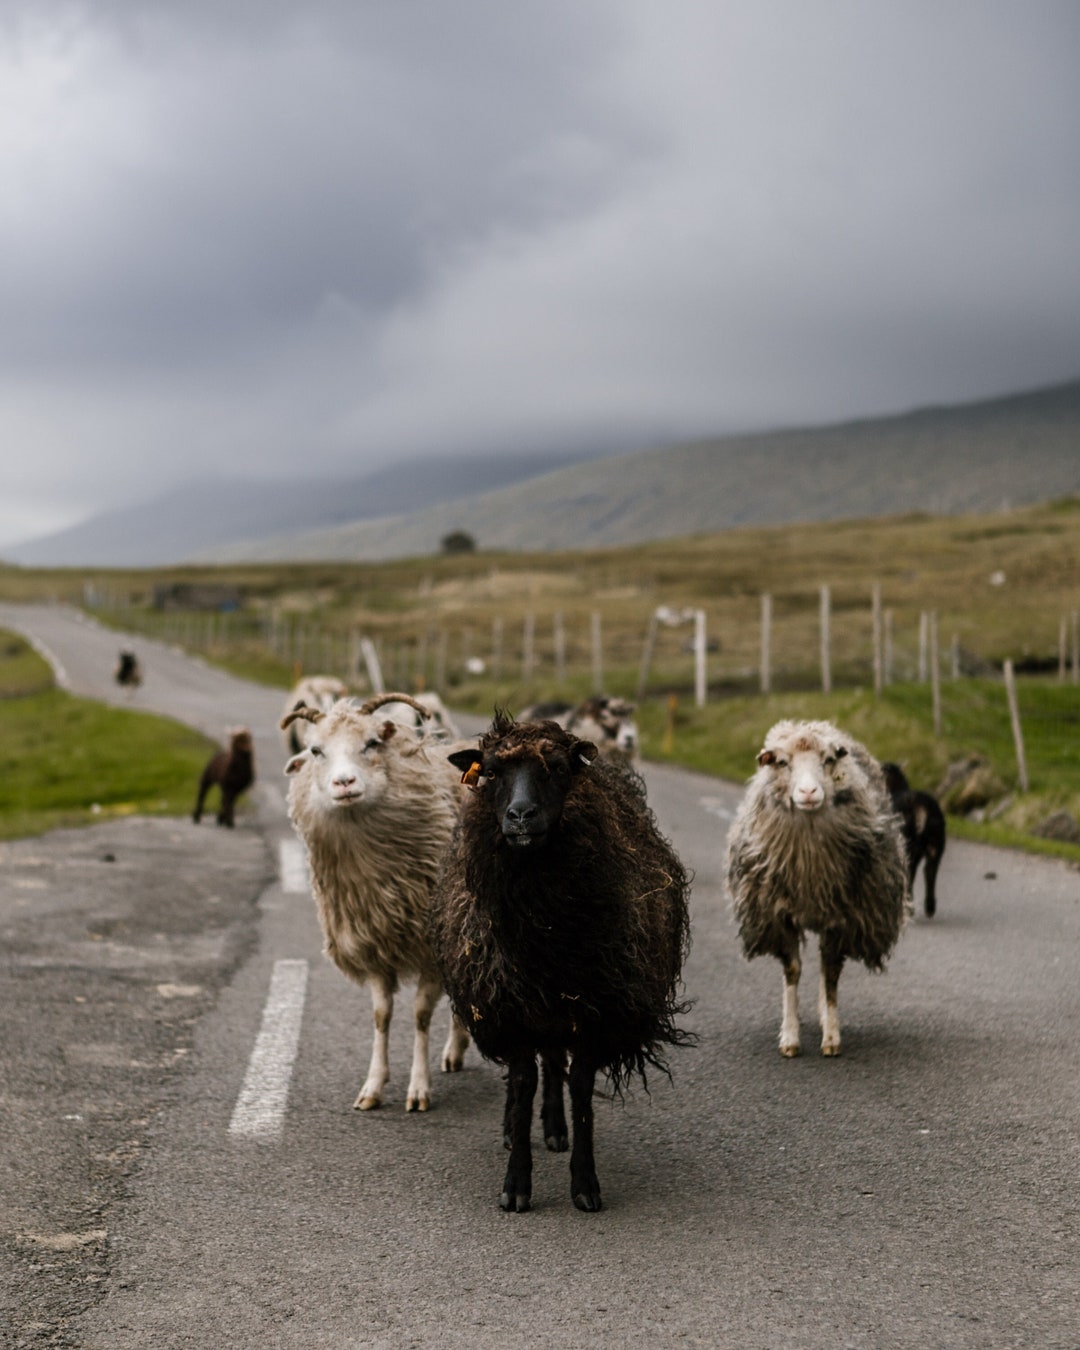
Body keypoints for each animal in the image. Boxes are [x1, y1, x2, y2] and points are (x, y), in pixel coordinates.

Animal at [280, 691, 471, 1112]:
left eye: (371, 743)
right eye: (316, 750)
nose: (344, 781)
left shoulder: (429, 946)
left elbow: (419, 1016)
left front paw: (418, 1088)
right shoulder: (374, 944)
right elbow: (381, 1016)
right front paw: (373, 1085)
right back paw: (456, 1049)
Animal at [429, 711, 693, 1213]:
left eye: (554, 769)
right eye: (492, 771)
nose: (519, 816)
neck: (543, 937)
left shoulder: (594, 1012)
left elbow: (581, 1090)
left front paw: (585, 1185)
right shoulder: (510, 1011)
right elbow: (522, 1085)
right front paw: (516, 1185)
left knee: (554, 1064)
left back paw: (554, 1129)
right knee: (532, 1075)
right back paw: (517, 1131)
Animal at [726, 719, 910, 1058]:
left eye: (827, 760)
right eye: (781, 762)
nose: (809, 791)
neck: (810, 868)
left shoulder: (841, 917)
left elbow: (831, 975)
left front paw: (832, 1037)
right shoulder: (780, 915)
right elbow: (793, 971)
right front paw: (790, 1037)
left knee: (826, 972)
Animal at [880, 762, 947, 918]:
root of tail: (922, 809)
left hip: (908, 843)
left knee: (911, 872)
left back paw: (908, 907)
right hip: (936, 841)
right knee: (930, 870)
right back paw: (929, 908)